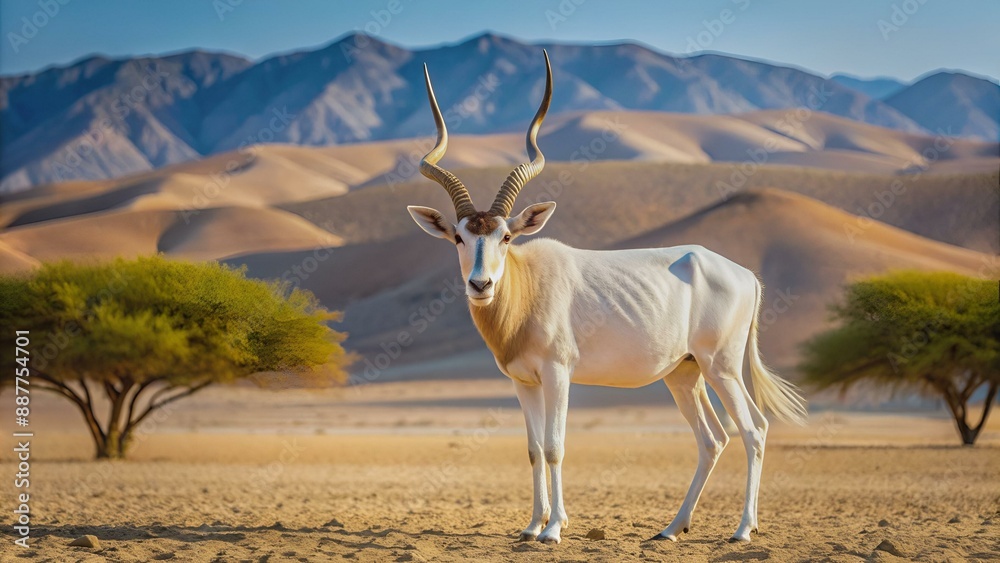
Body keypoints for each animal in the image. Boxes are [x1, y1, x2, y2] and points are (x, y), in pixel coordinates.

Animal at [407, 51, 807, 545]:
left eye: (505, 236)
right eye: (460, 237)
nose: (481, 286)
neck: (528, 286)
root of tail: (746, 275)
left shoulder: (559, 373)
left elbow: (556, 447)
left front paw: (553, 529)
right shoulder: (523, 382)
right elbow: (533, 449)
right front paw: (531, 525)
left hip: (722, 367)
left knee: (754, 429)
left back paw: (743, 530)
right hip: (685, 374)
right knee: (712, 438)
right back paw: (671, 528)